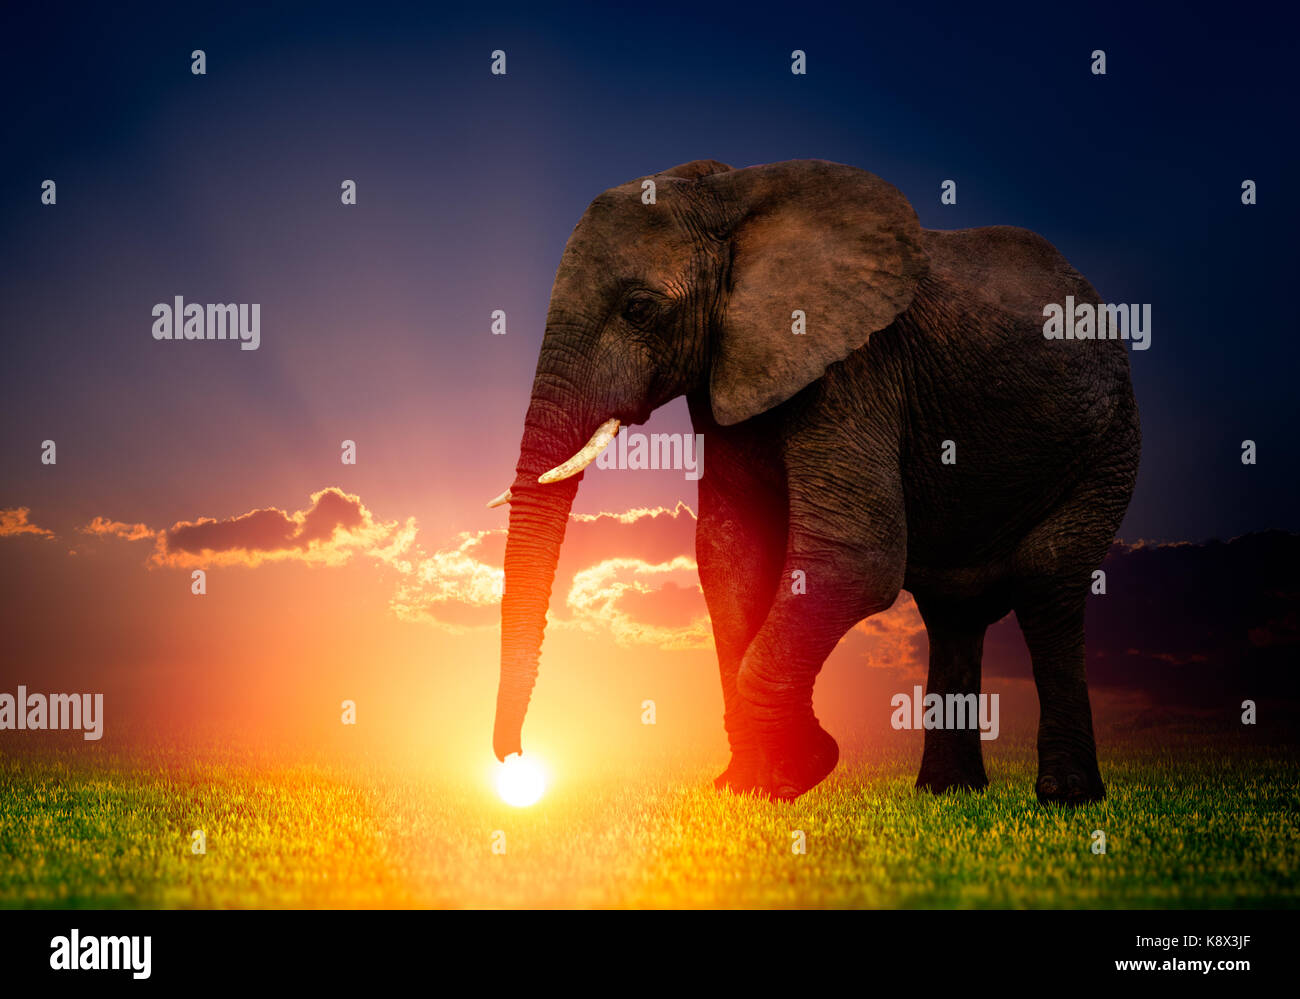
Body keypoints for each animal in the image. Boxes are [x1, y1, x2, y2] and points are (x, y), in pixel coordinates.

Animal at [488, 158, 1139, 804]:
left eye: (640, 310)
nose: (515, 760)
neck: (729, 199)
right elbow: (730, 556)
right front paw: (751, 784)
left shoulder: (856, 368)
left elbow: (856, 557)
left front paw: (804, 765)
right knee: (953, 610)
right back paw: (948, 793)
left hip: (1110, 439)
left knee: (1047, 577)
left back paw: (1067, 795)